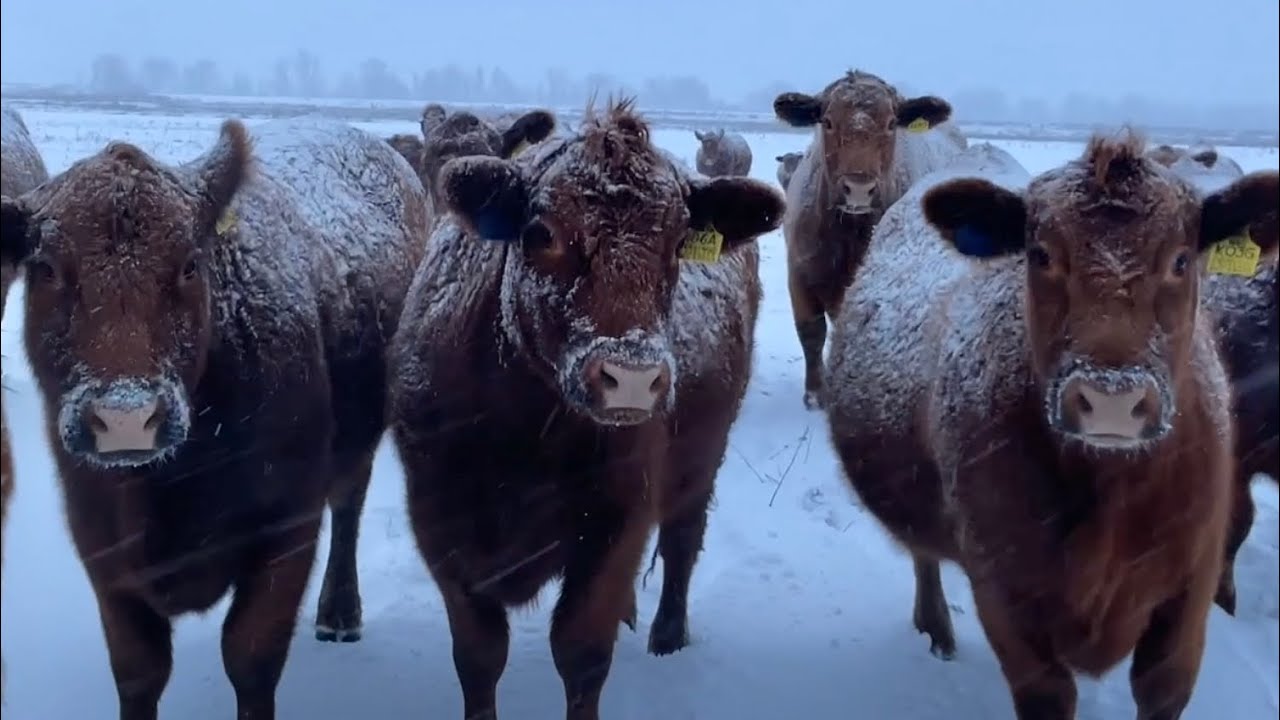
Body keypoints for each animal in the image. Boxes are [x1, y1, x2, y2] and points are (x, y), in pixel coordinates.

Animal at [0, 116, 428, 718]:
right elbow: (139, 673)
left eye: (188, 264)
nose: (126, 416)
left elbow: (250, 661)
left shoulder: (286, 530)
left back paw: (340, 614)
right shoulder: (103, 553)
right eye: (46, 268)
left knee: (349, 504)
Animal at [388, 98, 784, 720]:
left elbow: (582, 652)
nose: (633, 377)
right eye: (541, 231)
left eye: (679, 241)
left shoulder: (618, 522)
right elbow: (479, 657)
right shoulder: (441, 525)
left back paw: (667, 633)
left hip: (701, 459)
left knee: (682, 539)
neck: (525, 434)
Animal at [773, 69, 965, 408]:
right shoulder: (800, 274)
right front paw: (815, 393)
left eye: (891, 123)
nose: (859, 188)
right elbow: (811, 333)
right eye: (828, 121)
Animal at [824, 130, 1279, 719]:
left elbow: (1163, 682)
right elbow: (1047, 692)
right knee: (924, 554)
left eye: (1181, 260)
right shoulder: (1005, 595)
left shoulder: (1189, 594)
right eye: (1040, 255)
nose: (1111, 398)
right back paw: (936, 630)